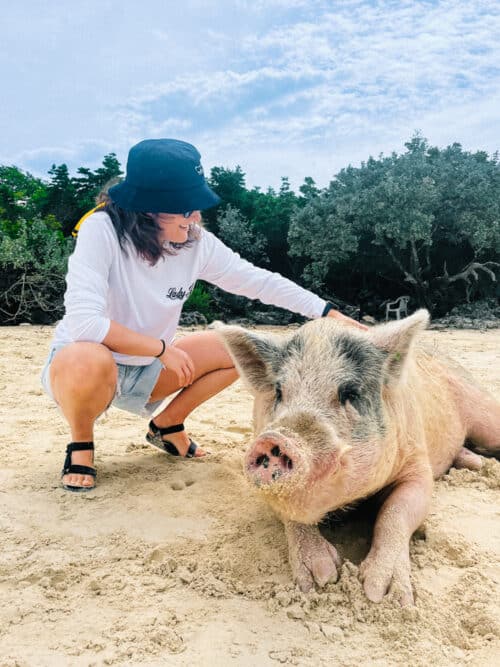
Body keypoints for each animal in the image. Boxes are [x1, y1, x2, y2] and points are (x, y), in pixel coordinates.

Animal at [217, 310, 500, 605]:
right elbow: (291, 515)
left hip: (486, 413)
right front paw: (321, 579)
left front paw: (383, 596)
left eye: (350, 393)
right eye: (280, 391)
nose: (276, 438)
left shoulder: (417, 465)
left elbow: (394, 512)